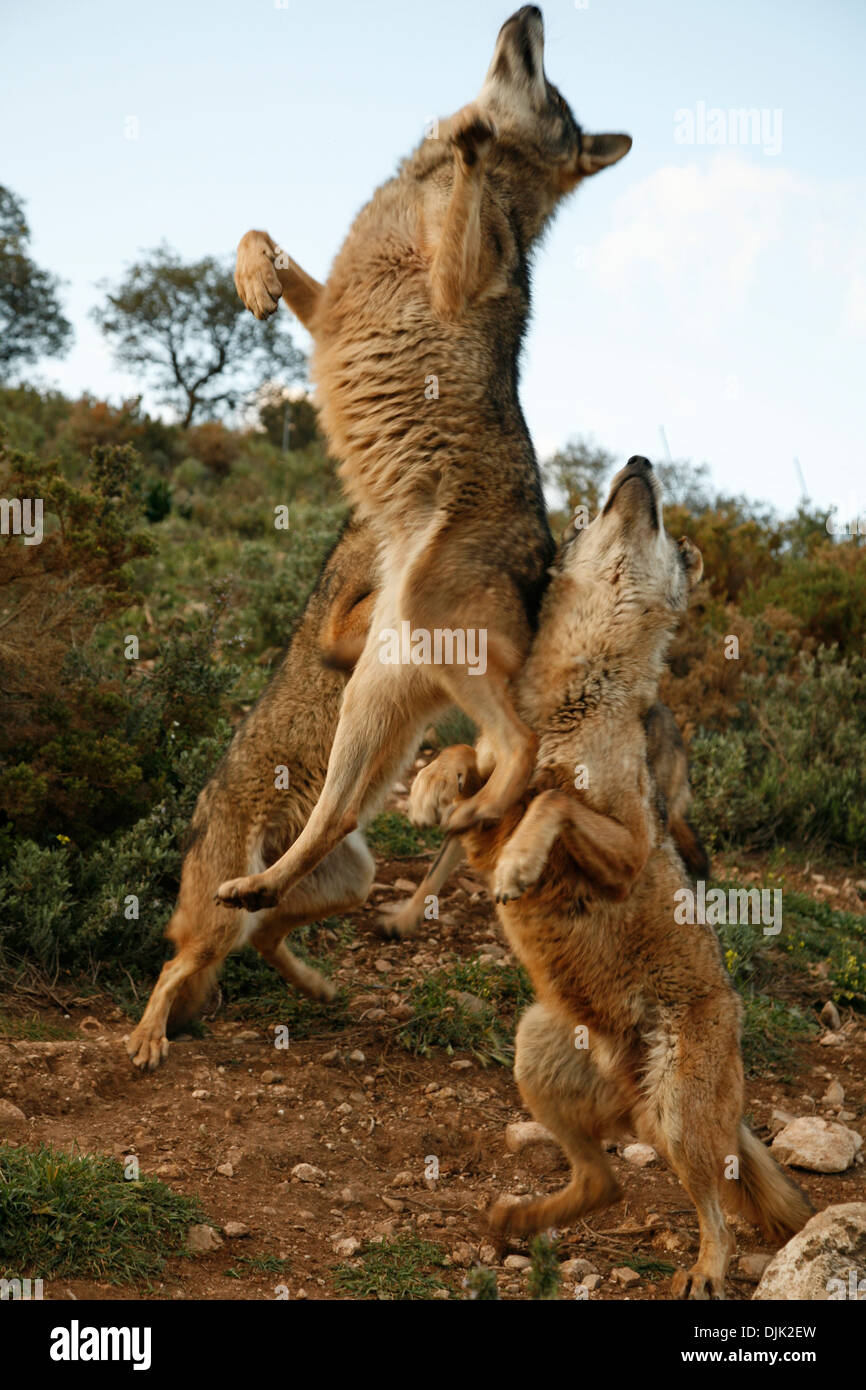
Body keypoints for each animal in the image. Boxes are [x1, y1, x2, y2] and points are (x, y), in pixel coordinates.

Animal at [218, 5, 631, 913]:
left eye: (551, 87)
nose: (530, 11)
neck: (424, 176)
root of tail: (547, 573)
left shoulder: (454, 273)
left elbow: (473, 191)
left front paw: (475, 141)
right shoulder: (331, 306)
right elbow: (260, 232)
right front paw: (253, 277)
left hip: (439, 635)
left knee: (520, 748)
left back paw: (473, 813)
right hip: (371, 700)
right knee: (338, 816)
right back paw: (259, 886)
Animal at [409, 457, 813, 1298]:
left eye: (670, 526)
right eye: (588, 516)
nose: (639, 462)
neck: (576, 695)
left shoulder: (626, 847)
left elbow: (555, 801)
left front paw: (524, 864)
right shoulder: (485, 821)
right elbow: (469, 759)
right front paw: (430, 786)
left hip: (676, 1117)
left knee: (710, 1208)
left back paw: (703, 1272)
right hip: (535, 1056)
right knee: (607, 1183)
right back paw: (513, 1220)